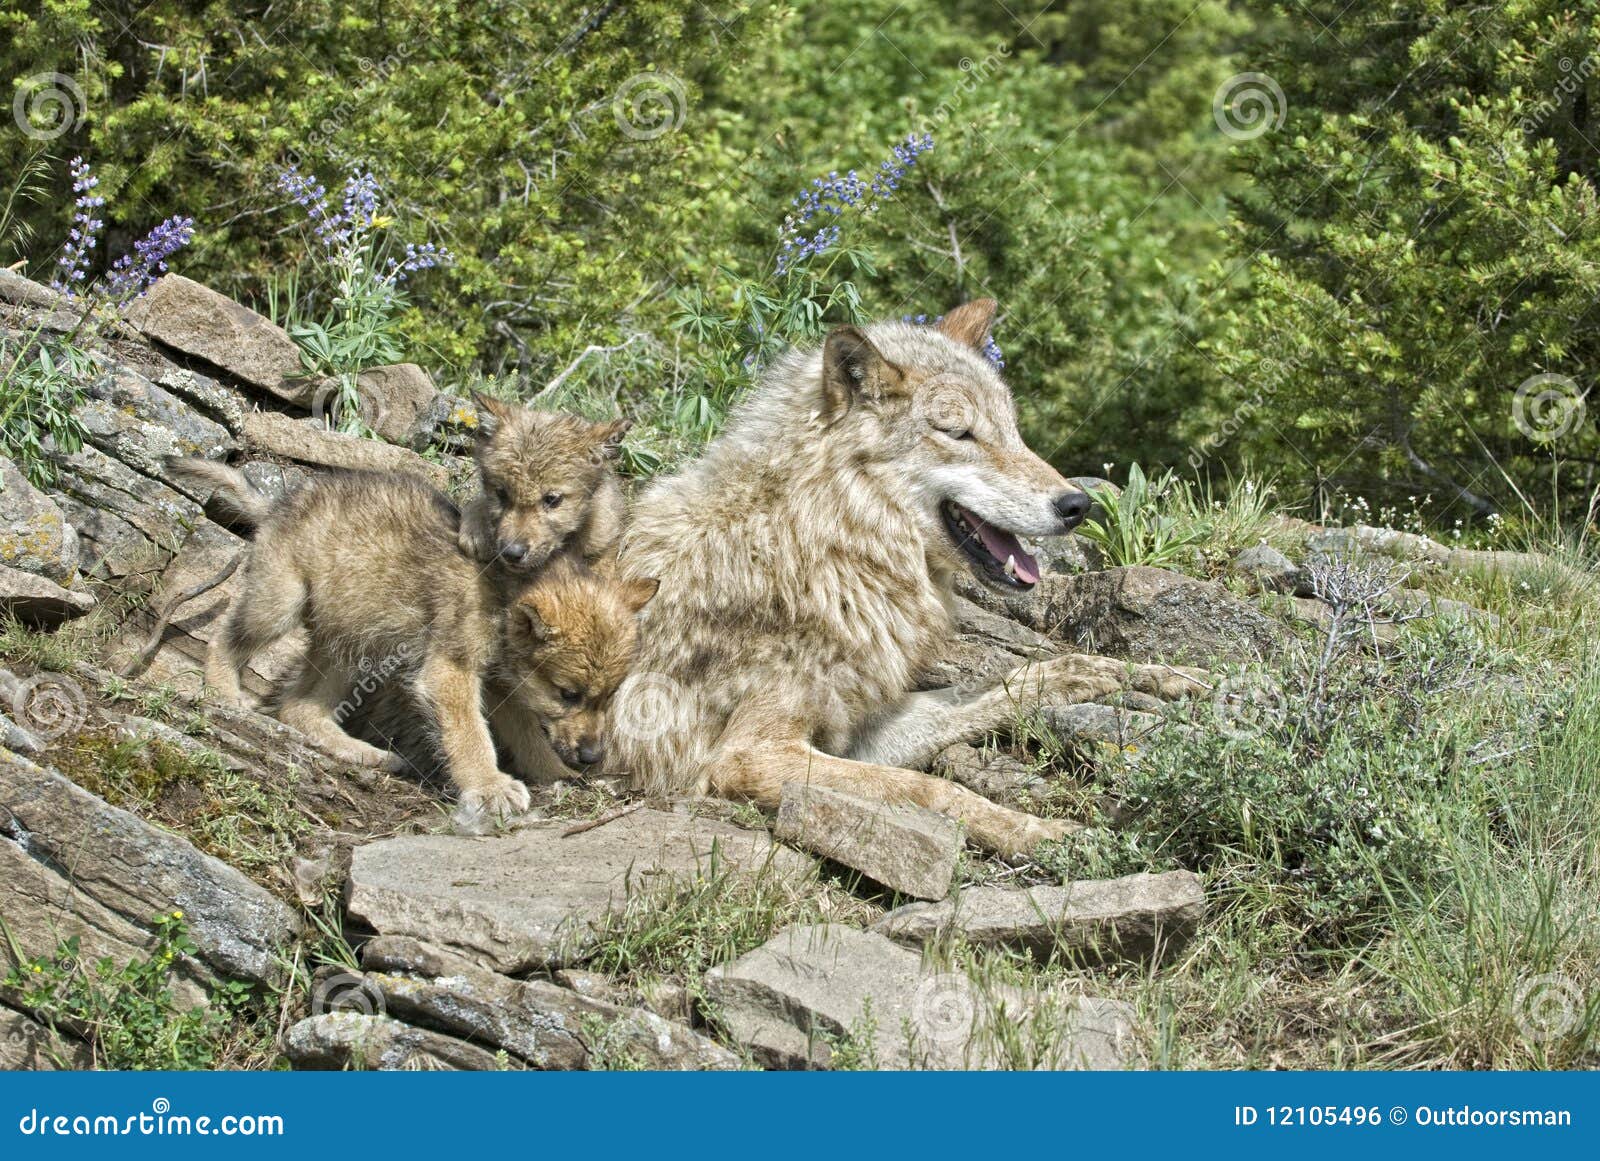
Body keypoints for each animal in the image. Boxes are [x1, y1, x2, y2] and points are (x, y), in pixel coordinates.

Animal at [164, 401, 633, 820]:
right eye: (568, 693)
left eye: (608, 696)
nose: (592, 756)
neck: (505, 593)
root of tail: (277, 504)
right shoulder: (450, 671)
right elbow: (470, 735)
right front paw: (489, 788)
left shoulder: (503, 685)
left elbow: (526, 735)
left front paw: (554, 775)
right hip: (279, 604)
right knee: (225, 635)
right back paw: (223, 693)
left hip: (352, 642)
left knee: (298, 708)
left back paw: (365, 753)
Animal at [612, 300, 1206, 856]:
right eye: (959, 433)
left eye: (1013, 433)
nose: (1078, 505)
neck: (827, 543)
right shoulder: (749, 757)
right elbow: (931, 789)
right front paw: (1046, 834)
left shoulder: (856, 726)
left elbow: (1024, 678)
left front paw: (1160, 676)